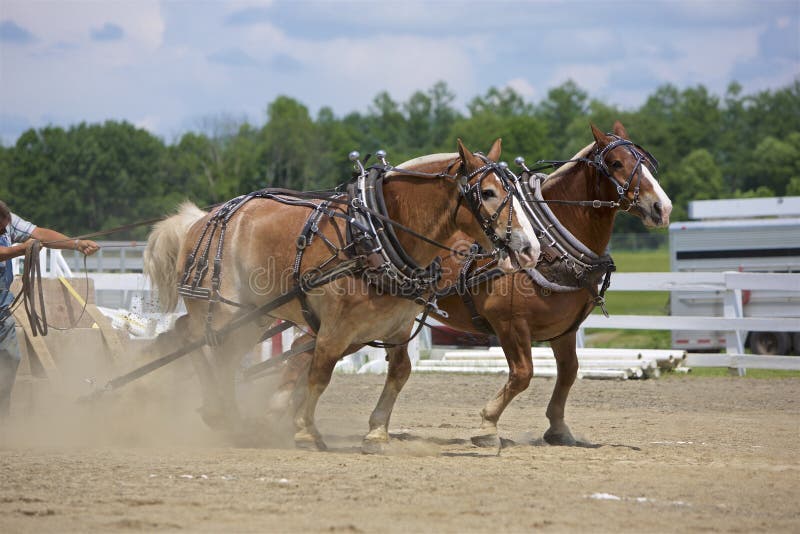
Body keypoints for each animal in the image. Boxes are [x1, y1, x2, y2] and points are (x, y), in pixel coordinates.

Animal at [144, 139, 540, 451]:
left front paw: (376, 432)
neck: (374, 234)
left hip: (252, 318)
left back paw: (226, 416)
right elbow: (320, 372)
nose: (530, 248)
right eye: (488, 192)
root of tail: (199, 220)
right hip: (227, 312)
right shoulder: (335, 327)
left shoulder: (395, 324)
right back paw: (225, 415)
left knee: (193, 339)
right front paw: (306, 432)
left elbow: (400, 371)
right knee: (208, 351)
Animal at [273, 121, 672, 451]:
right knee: (302, 360)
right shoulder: (508, 323)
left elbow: (569, 374)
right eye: (617, 163)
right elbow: (523, 375)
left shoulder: (563, 331)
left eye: (646, 162)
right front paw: (487, 426)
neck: (550, 242)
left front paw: (558, 429)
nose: (662, 207)